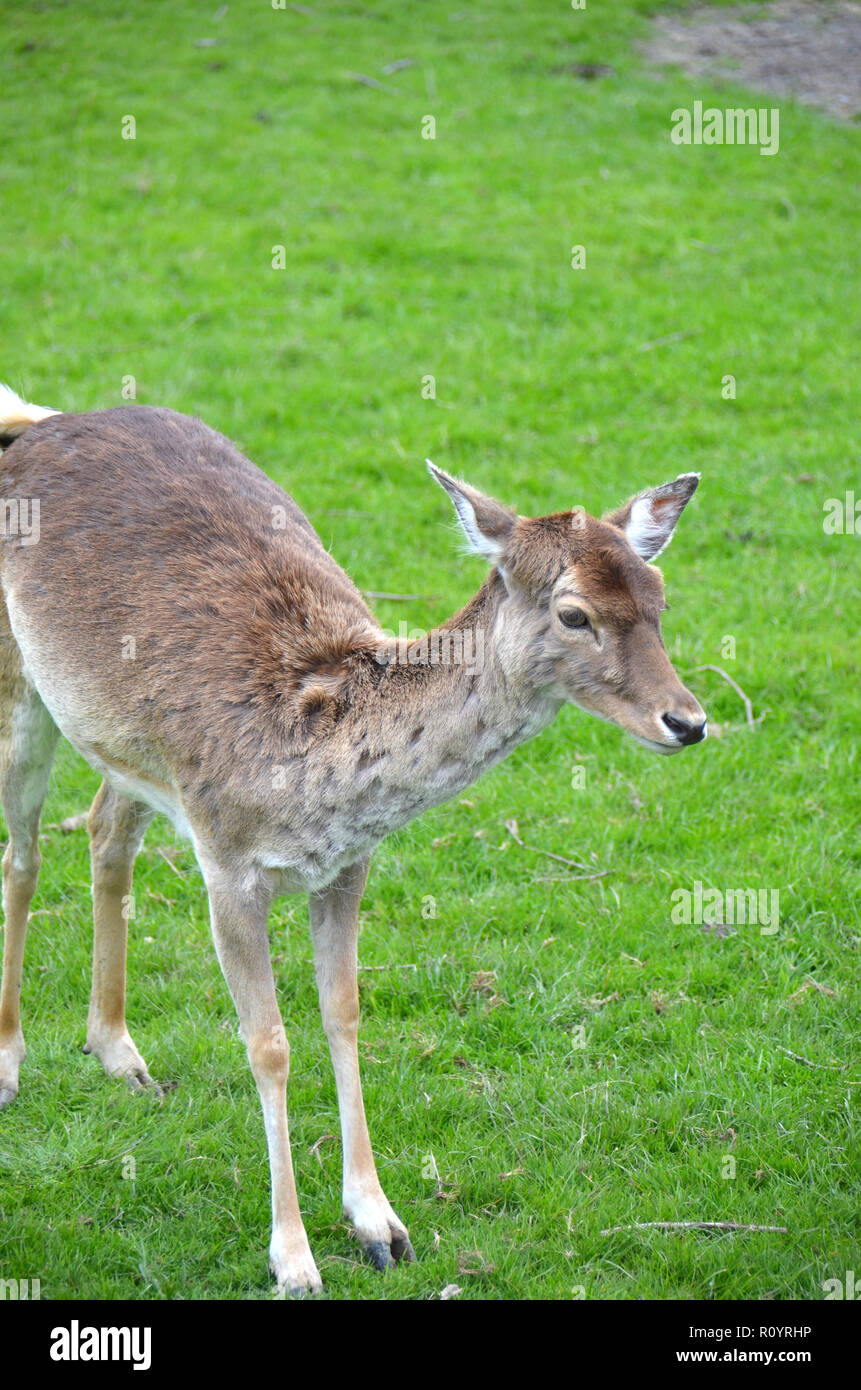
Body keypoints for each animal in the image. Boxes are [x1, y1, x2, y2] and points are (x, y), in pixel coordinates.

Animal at [0, 384, 707, 1296]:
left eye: (659, 598)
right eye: (574, 613)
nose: (687, 721)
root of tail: (39, 421)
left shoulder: (345, 866)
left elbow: (343, 1013)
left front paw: (380, 1225)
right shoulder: (225, 863)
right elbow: (268, 1045)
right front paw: (294, 1259)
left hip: (121, 743)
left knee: (103, 831)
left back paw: (118, 1050)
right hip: (20, 684)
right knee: (22, 852)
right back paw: (10, 1062)